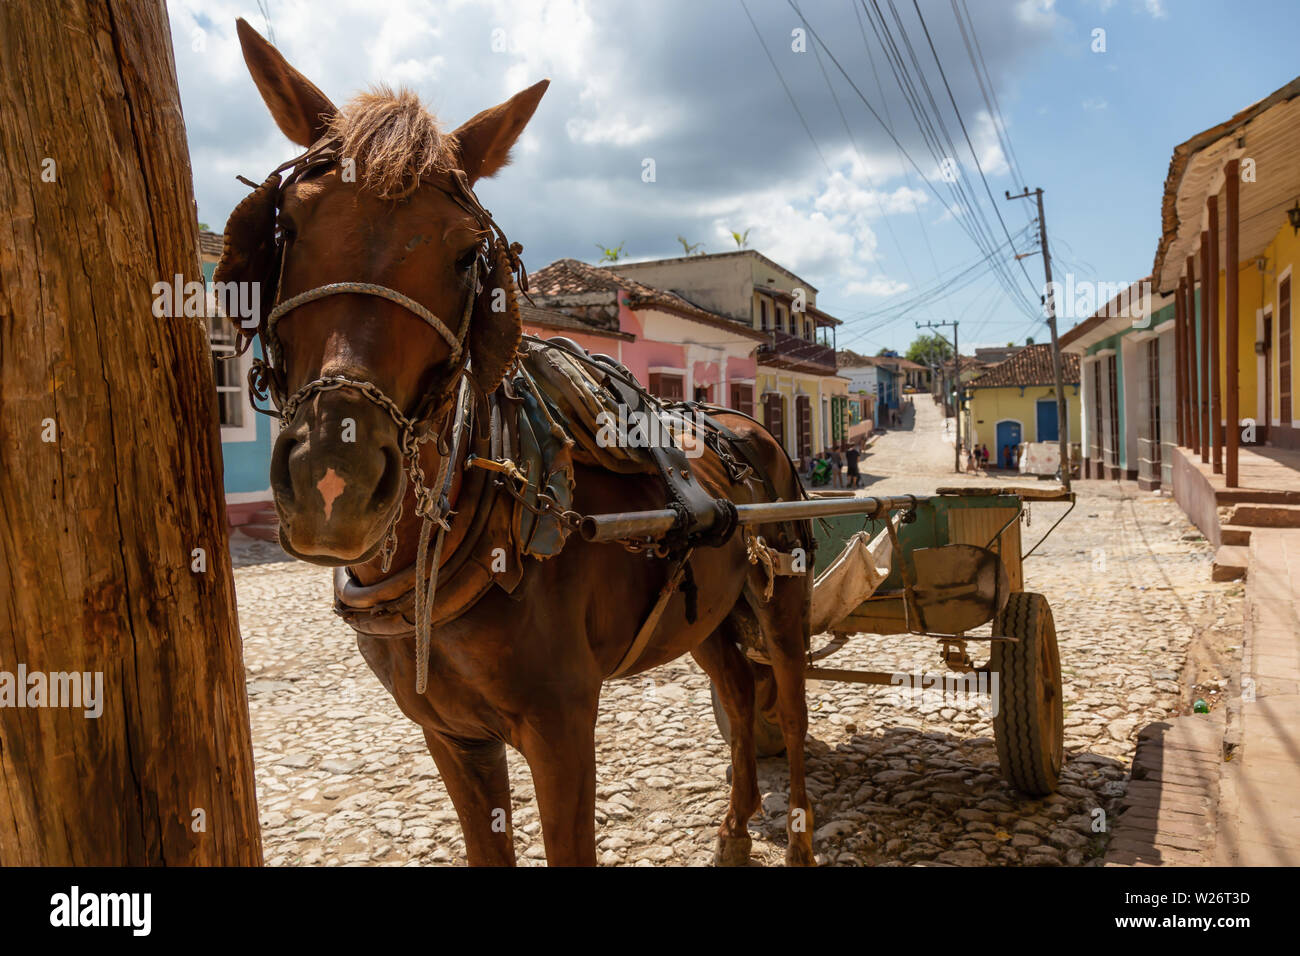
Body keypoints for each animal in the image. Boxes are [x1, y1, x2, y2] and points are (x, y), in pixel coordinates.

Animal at [220, 19, 816, 867]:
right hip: (706, 610)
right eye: (288, 228)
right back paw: (734, 834)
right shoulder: (449, 734)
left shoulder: (562, 726)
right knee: (735, 692)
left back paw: (795, 836)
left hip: (781, 596)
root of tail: (746, 425)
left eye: (468, 253)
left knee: (789, 709)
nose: (333, 481)